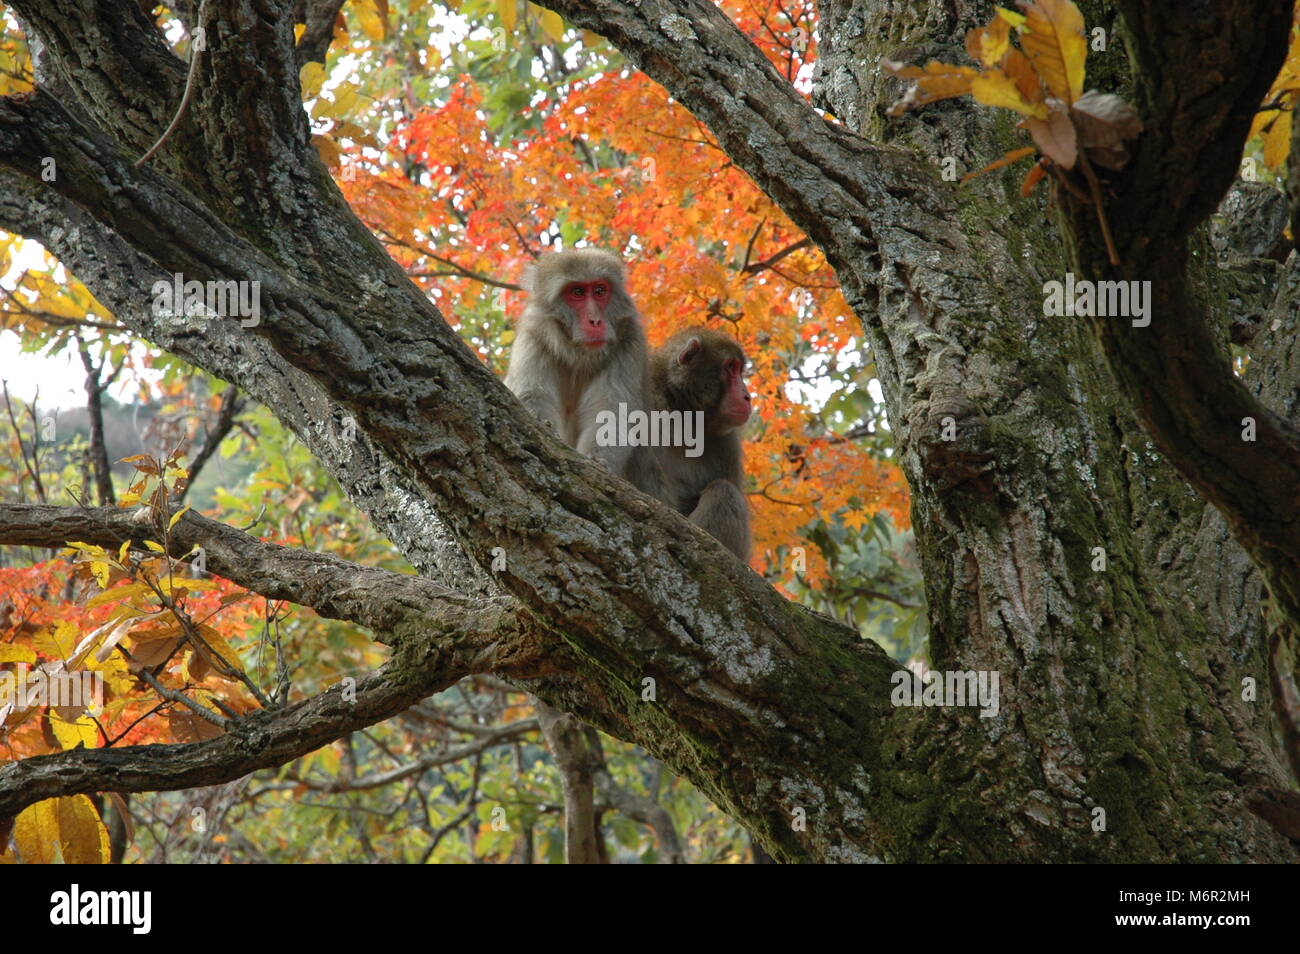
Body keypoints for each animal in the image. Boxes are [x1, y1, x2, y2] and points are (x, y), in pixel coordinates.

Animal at [504, 248, 653, 487]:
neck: (578, 356)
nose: (595, 321)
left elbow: (610, 411)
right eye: (577, 292)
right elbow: (533, 395)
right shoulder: (535, 338)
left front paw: (599, 462)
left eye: (600, 291)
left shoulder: (629, 343)